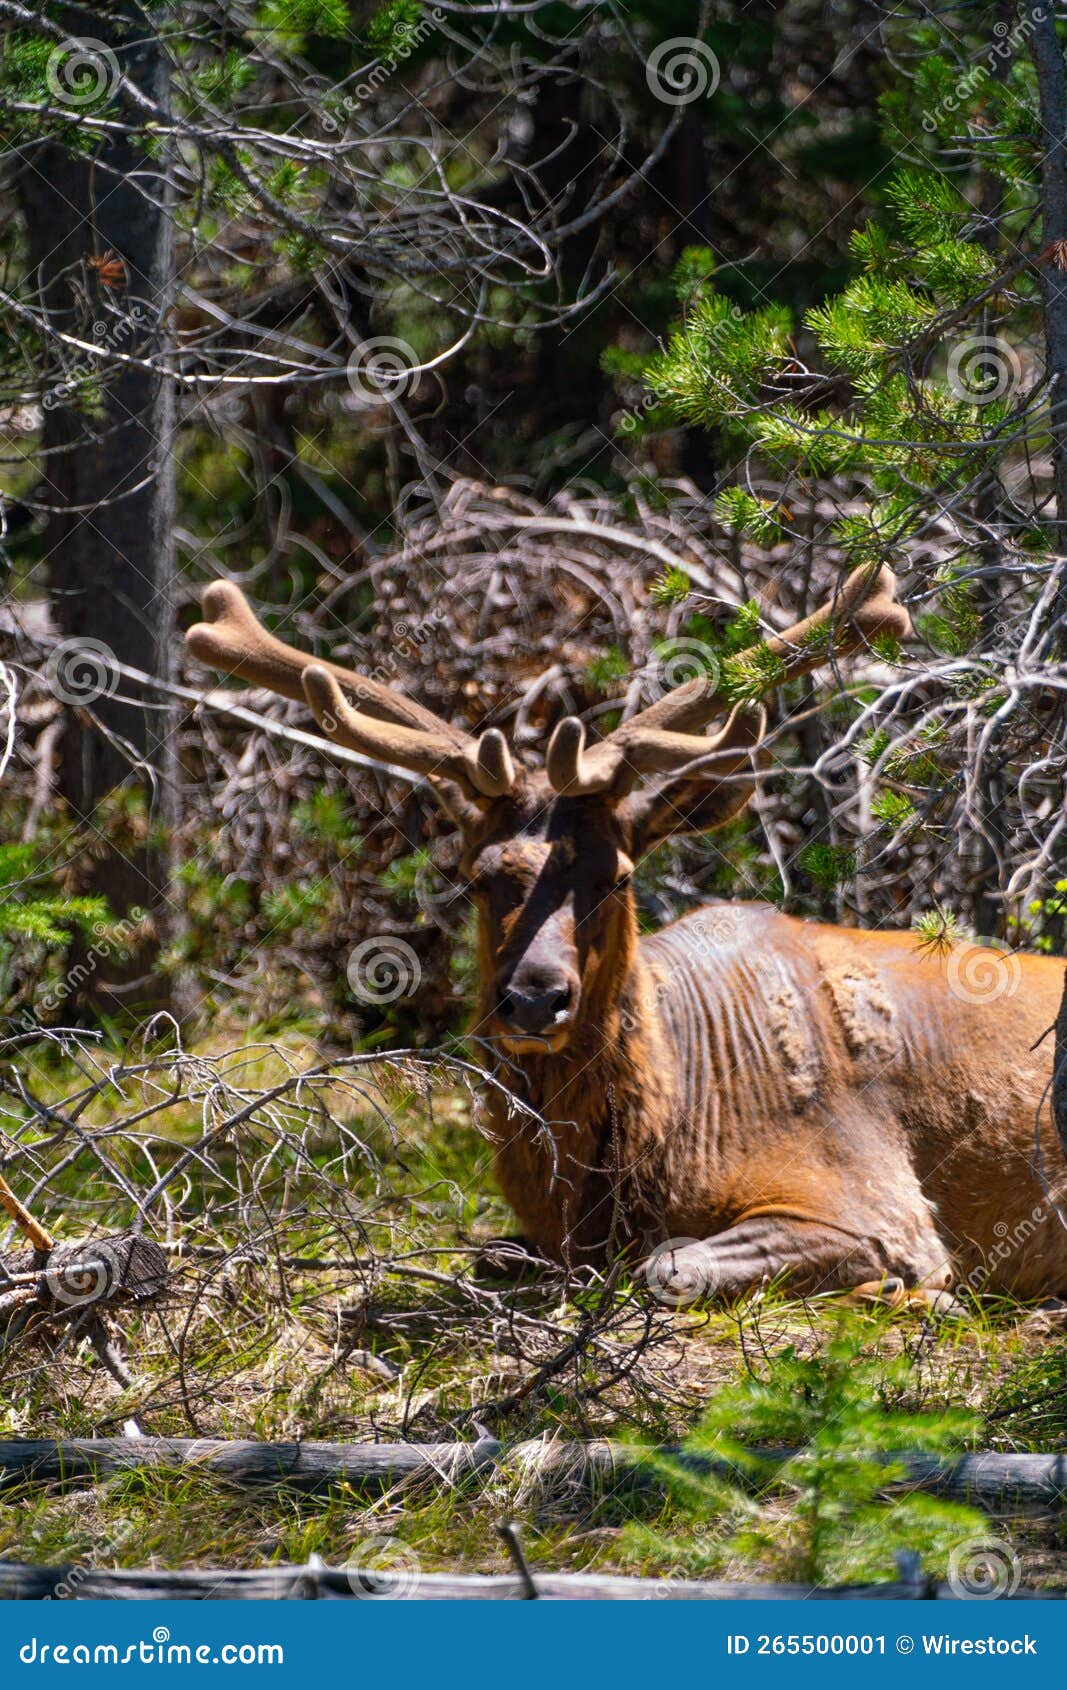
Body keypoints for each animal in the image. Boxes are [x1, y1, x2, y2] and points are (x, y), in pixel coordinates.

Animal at [186, 567, 1067, 1308]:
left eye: (616, 877)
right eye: (478, 877)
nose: (534, 998)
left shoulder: (877, 1202)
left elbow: (670, 1264)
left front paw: (908, 1293)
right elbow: (488, 1251)